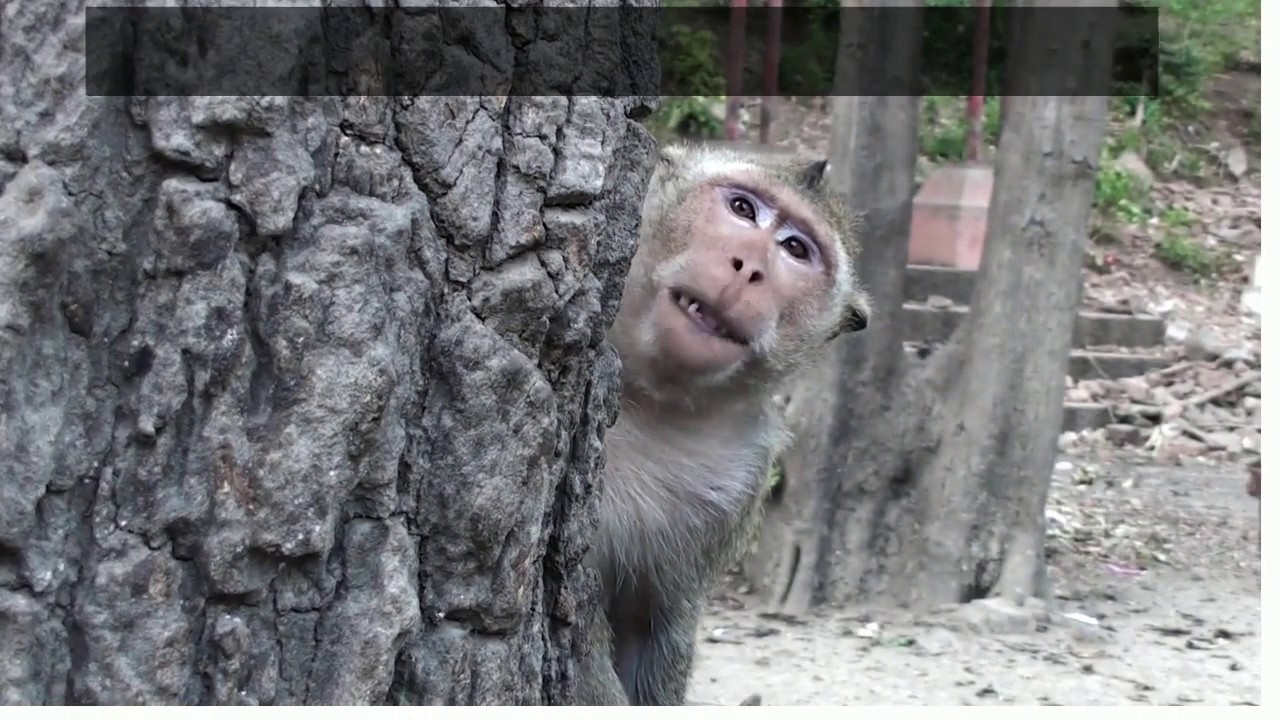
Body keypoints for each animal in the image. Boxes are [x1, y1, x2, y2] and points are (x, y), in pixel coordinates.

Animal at [574, 142, 870, 705]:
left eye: (795, 248)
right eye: (742, 209)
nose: (748, 266)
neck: (648, 396)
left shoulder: (738, 479)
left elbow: (654, 625)